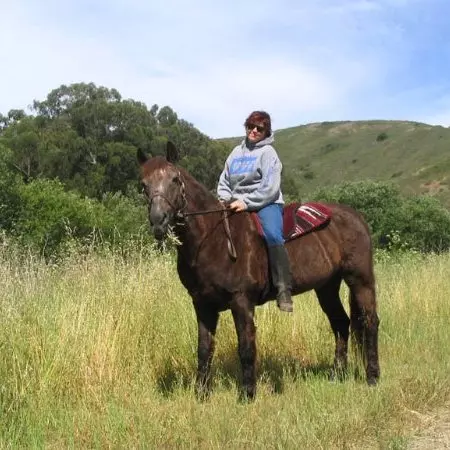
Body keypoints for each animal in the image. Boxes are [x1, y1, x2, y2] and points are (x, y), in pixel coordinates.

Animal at [137, 142, 380, 400]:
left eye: (175, 179)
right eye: (144, 184)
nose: (159, 221)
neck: (213, 239)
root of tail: (356, 216)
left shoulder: (242, 301)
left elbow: (246, 347)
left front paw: (247, 394)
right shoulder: (202, 305)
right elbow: (204, 349)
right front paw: (201, 394)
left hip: (360, 280)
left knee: (370, 322)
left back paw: (373, 377)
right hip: (327, 287)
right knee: (341, 323)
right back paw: (337, 375)